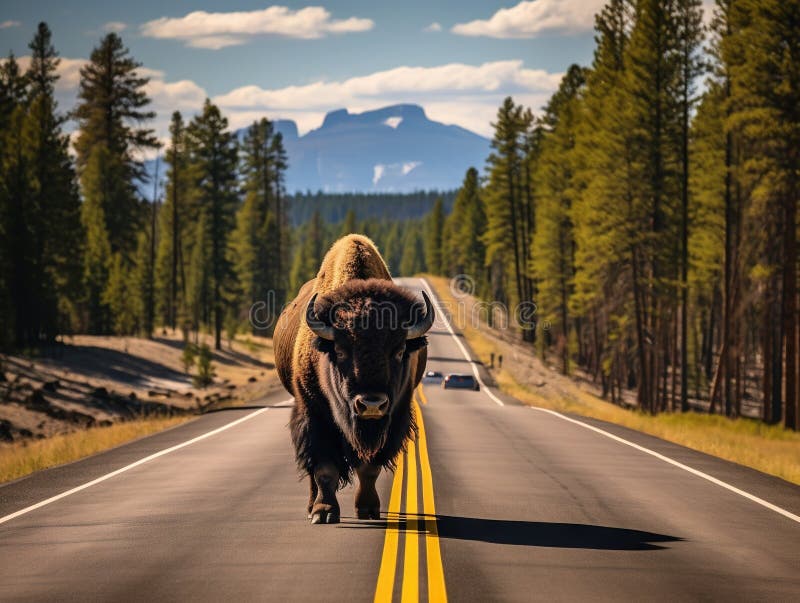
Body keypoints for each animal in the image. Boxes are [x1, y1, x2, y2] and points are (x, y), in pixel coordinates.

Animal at [274, 234, 434, 524]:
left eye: (400, 351)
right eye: (340, 350)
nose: (371, 404)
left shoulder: (392, 419)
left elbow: (368, 467)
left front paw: (368, 509)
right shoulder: (315, 414)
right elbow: (324, 468)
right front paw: (324, 512)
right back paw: (311, 507)